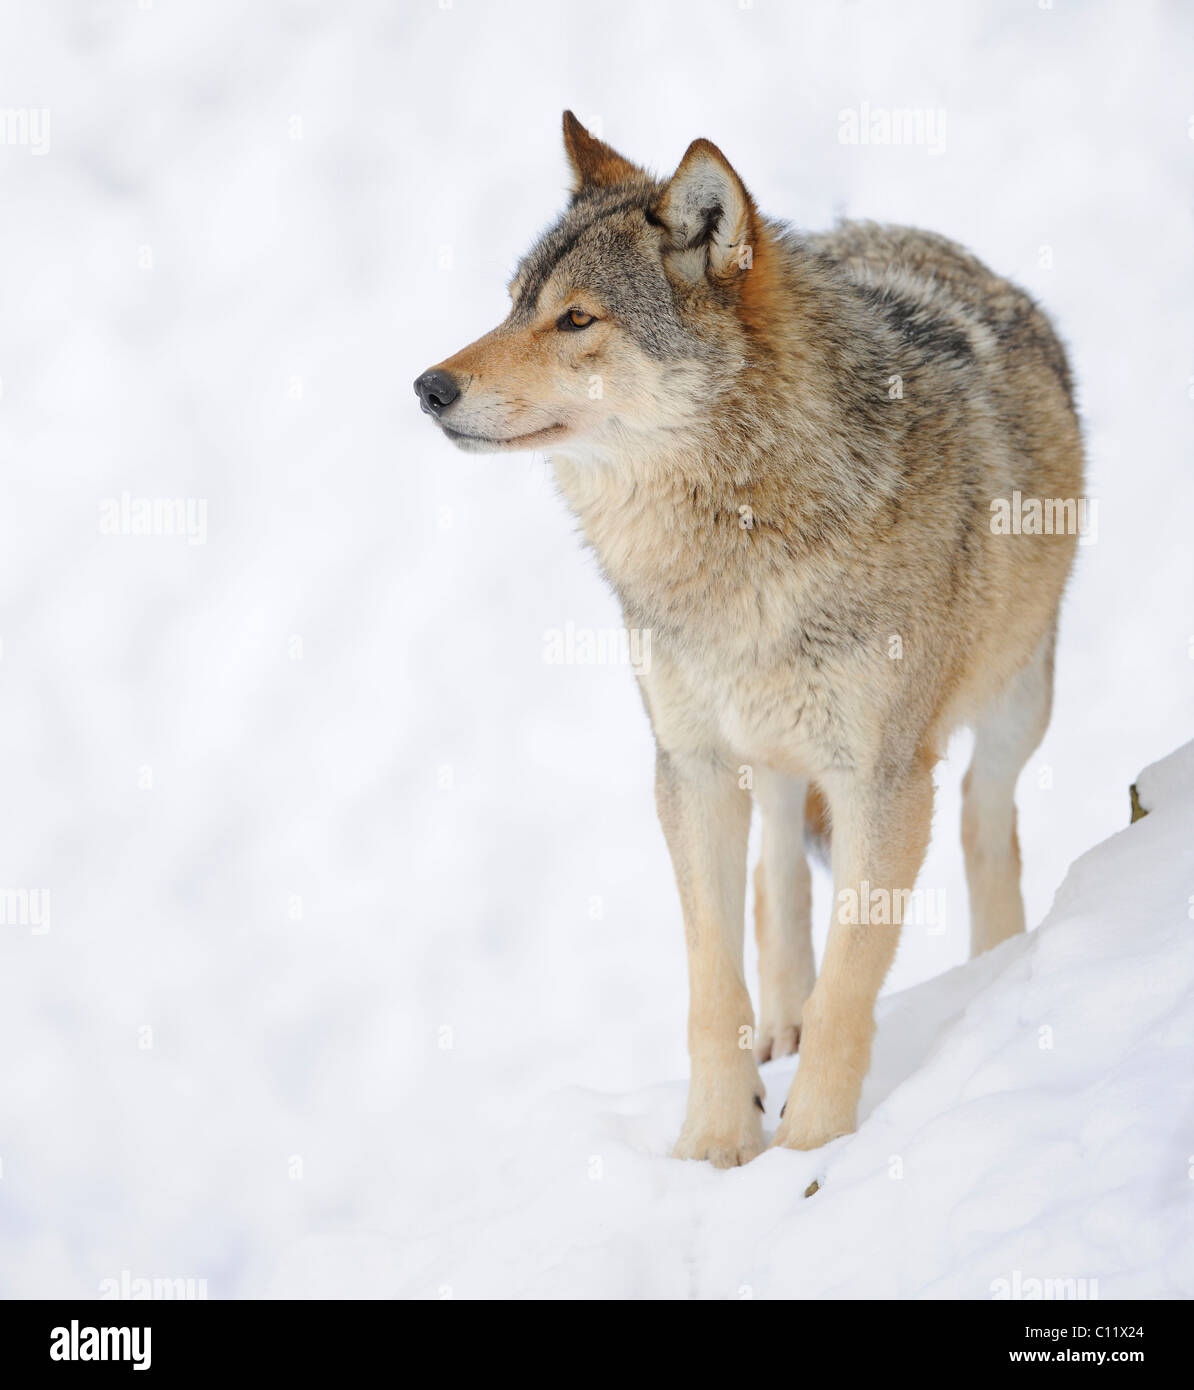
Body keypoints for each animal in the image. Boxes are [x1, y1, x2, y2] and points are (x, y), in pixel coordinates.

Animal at [415, 114, 1083, 1167]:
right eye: (514, 304)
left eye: (577, 320)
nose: (428, 387)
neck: (737, 543)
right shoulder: (686, 766)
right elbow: (709, 982)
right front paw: (715, 1145)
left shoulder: (885, 780)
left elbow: (854, 984)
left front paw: (811, 1155)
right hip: (763, 751)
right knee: (778, 868)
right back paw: (783, 1022)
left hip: (1016, 702)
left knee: (987, 820)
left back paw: (997, 964)